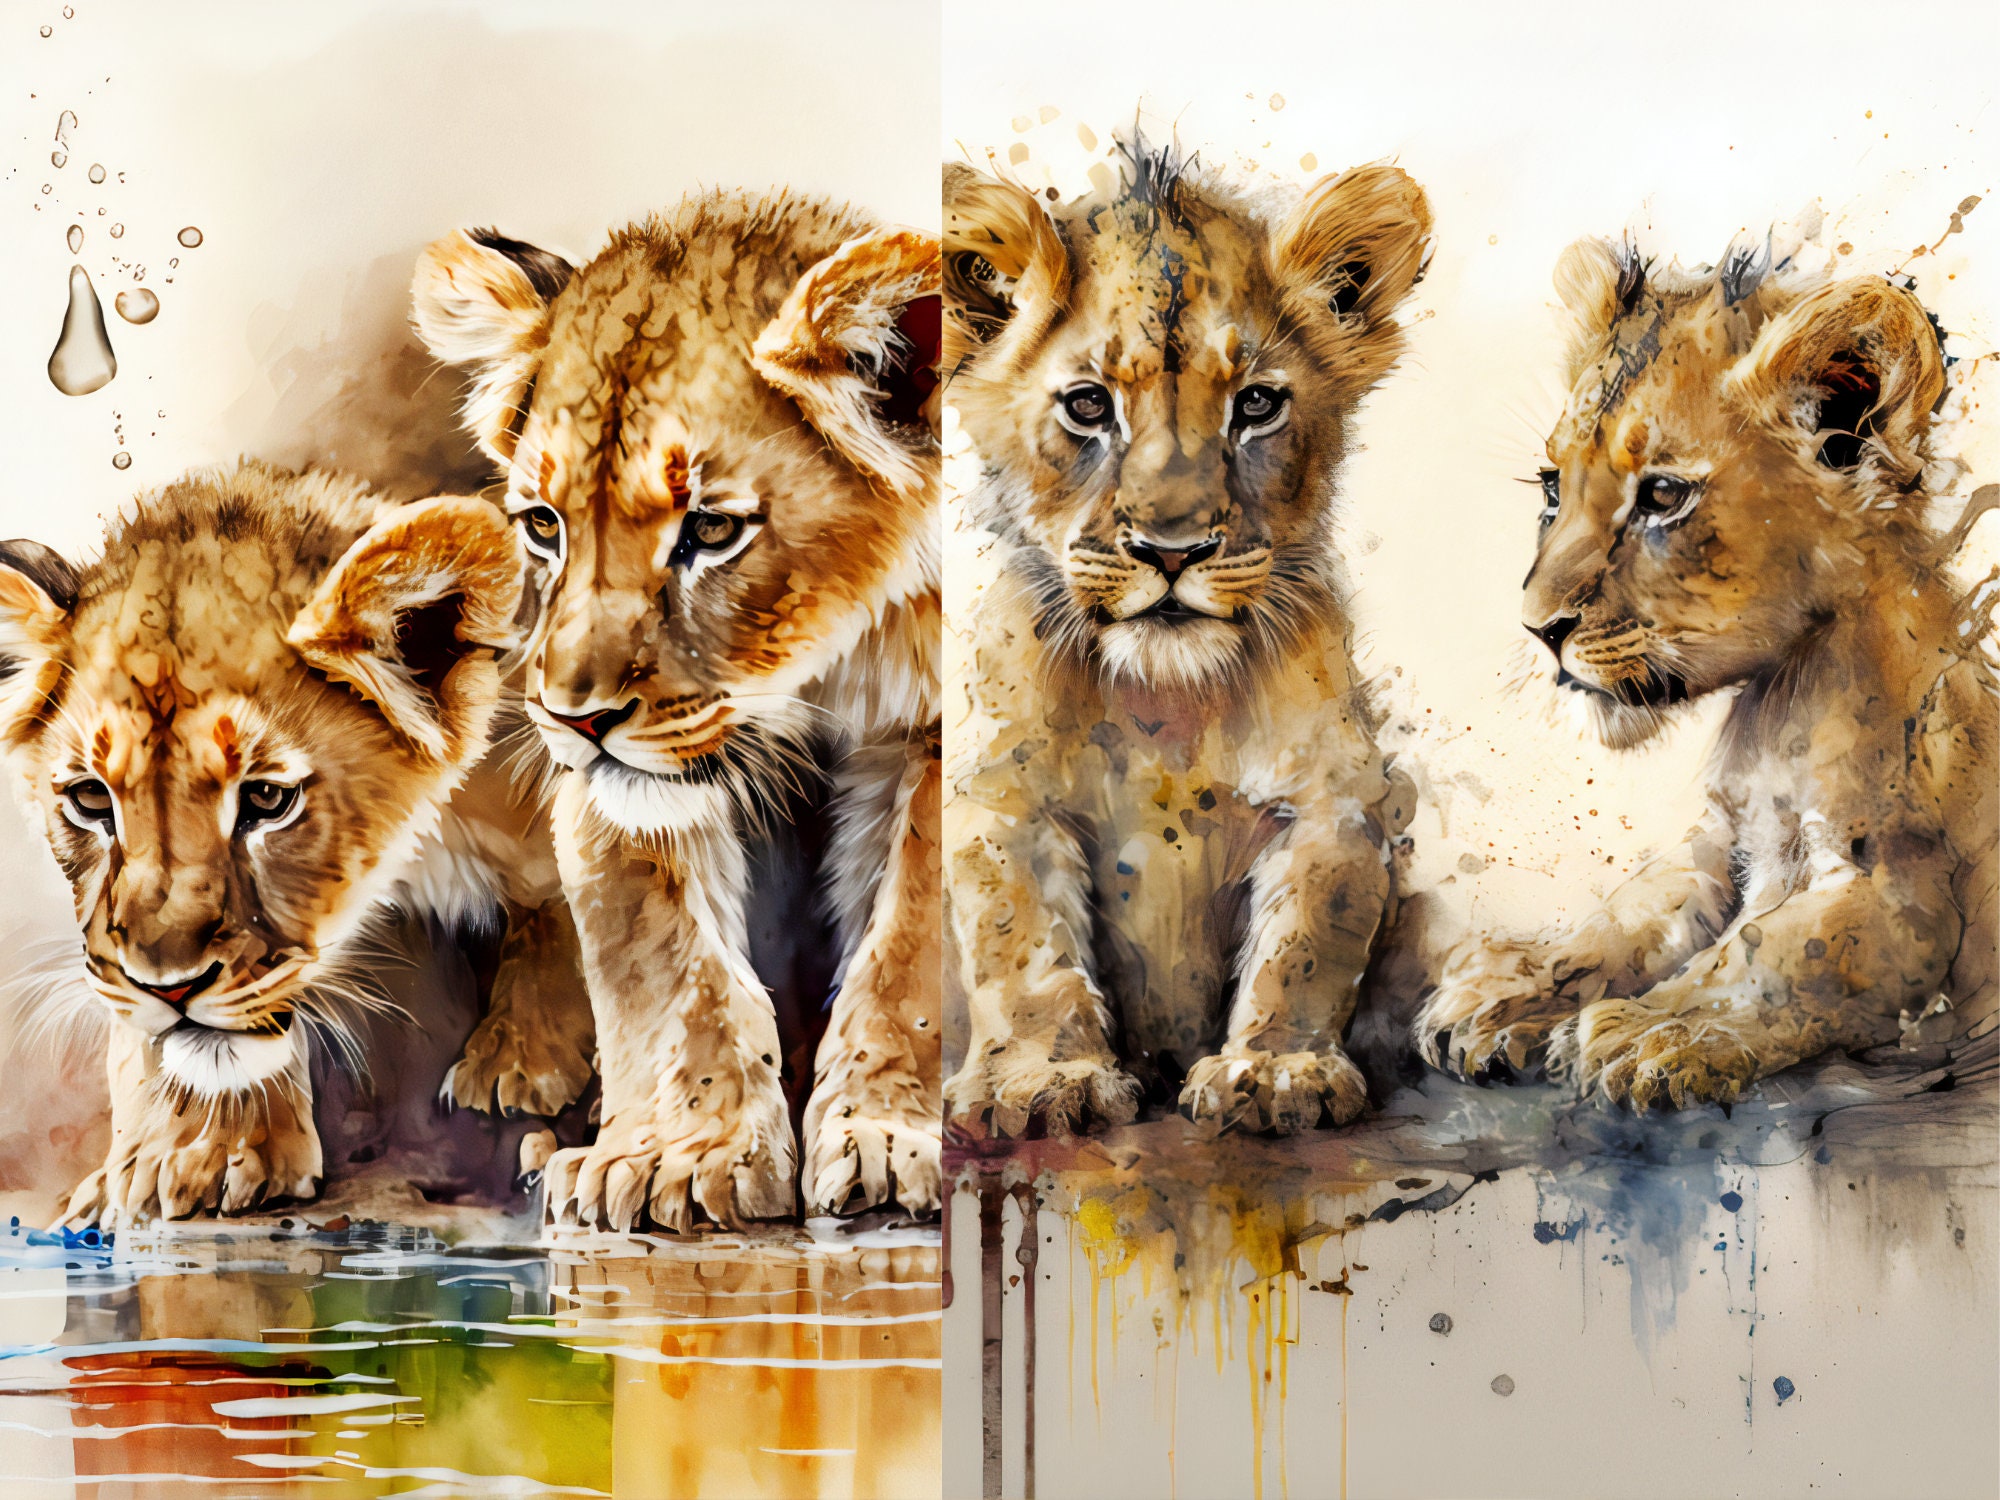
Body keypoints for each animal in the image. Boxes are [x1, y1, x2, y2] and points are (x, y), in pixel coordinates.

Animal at [0, 460, 597, 1227]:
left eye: (266, 800)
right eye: (91, 799)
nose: (170, 987)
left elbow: (560, 887)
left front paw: (526, 1057)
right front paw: (192, 1147)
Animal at [410, 193, 943, 1229]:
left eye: (711, 529)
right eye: (544, 525)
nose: (576, 718)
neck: (822, 663)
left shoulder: (934, 732)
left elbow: (910, 947)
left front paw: (891, 1135)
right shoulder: (624, 795)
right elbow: (667, 959)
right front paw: (679, 1157)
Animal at [940, 137, 1432, 1138]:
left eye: (1258, 405)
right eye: (1089, 407)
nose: (1173, 550)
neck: (1164, 702)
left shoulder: (1332, 800)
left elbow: (1305, 945)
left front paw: (1276, 1072)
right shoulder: (1003, 801)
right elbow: (1024, 950)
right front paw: (1039, 1082)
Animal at [1415, 235, 1998, 1109]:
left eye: (1661, 495)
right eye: (1553, 488)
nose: (1537, 629)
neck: (1775, 706)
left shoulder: (1903, 891)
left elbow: (1768, 950)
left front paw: (1653, 1032)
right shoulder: (1721, 843)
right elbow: (1625, 916)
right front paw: (1504, 993)